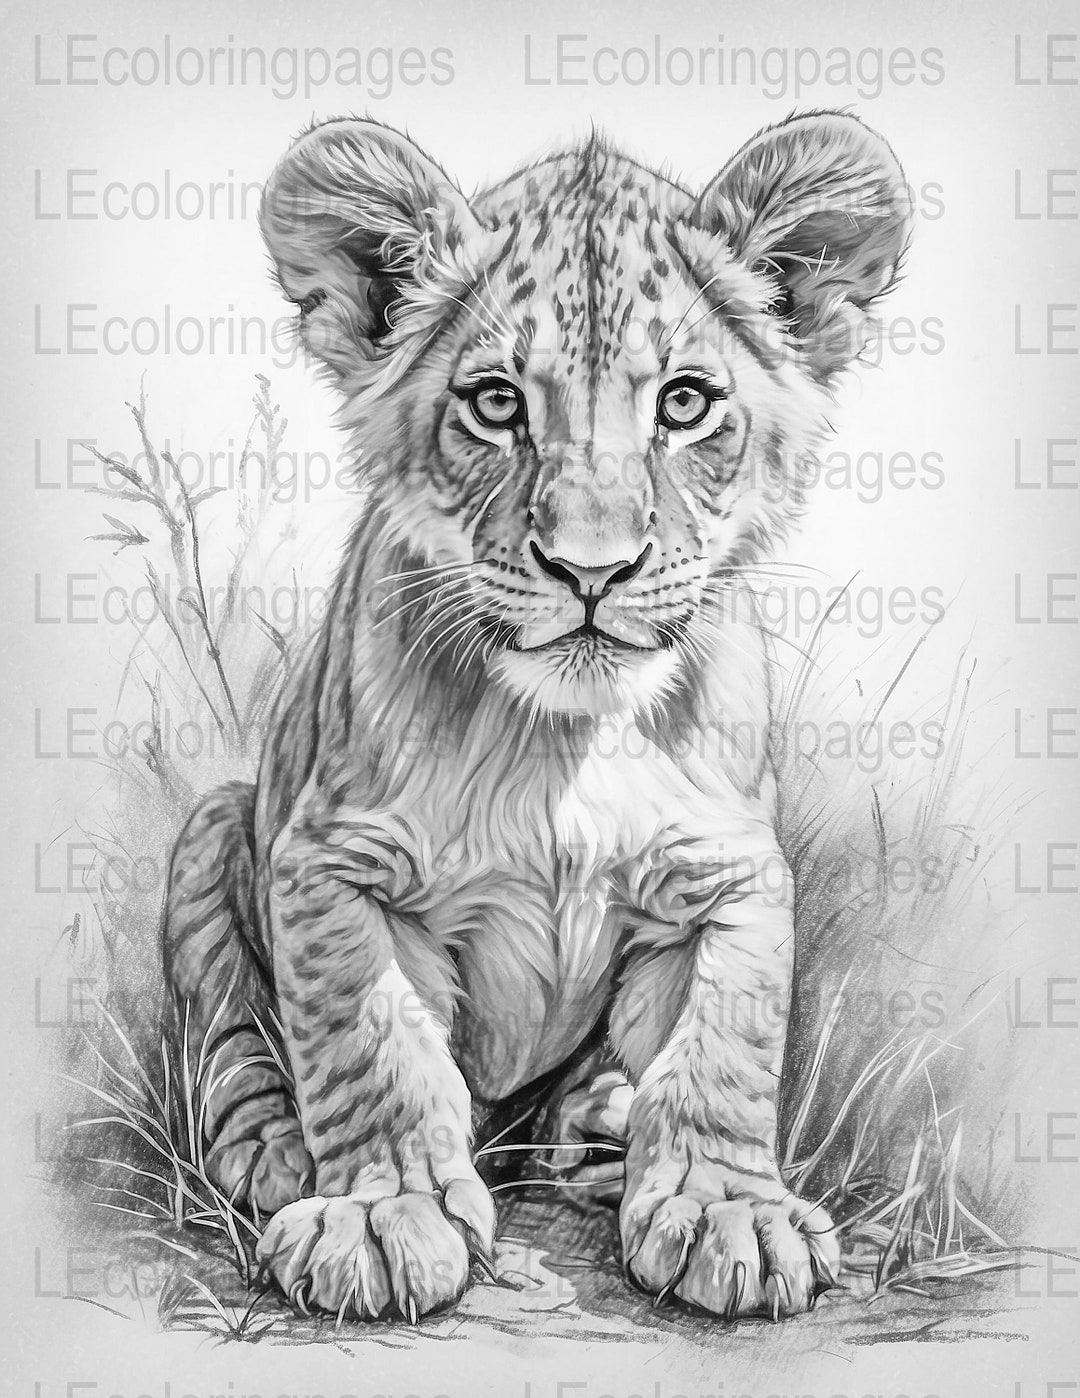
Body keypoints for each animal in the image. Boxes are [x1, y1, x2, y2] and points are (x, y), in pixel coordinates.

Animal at [162, 111, 912, 1323]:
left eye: (686, 403)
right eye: (496, 402)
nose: (590, 570)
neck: (569, 733)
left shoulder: (730, 872)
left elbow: (724, 1048)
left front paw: (727, 1209)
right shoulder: (330, 864)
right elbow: (370, 1045)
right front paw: (384, 1214)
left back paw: (603, 1131)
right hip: (211, 827)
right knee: (228, 1037)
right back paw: (273, 1153)